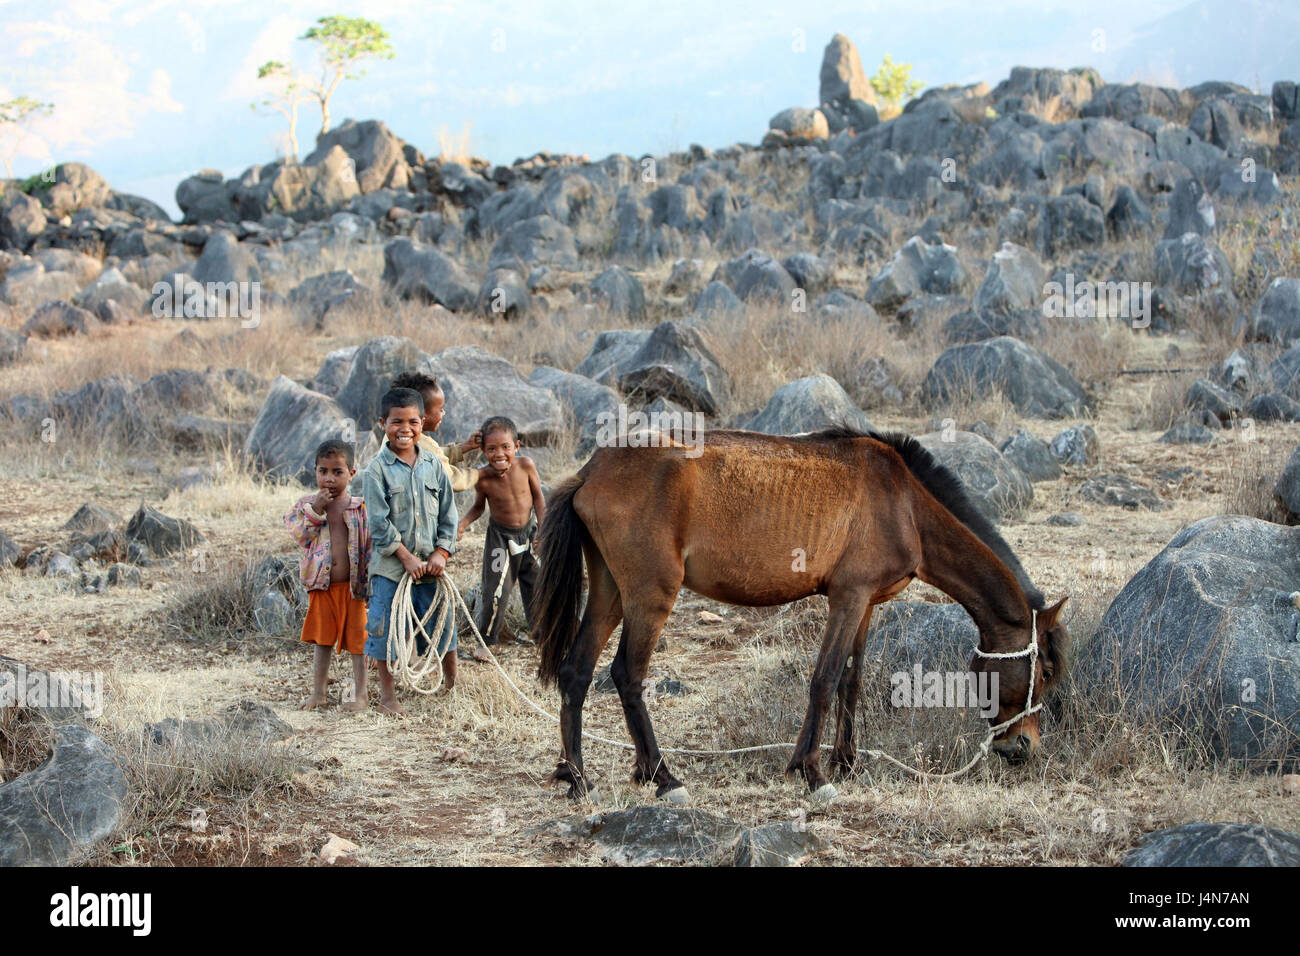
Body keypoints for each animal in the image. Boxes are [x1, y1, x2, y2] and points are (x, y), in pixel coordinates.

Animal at [530, 425, 1069, 803]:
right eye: (1043, 671)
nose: (1023, 747)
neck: (906, 503)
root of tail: (592, 469)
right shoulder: (848, 597)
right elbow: (825, 679)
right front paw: (812, 772)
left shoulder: (866, 605)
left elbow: (852, 680)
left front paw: (847, 762)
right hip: (649, 595)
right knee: (627, 675)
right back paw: (663, 776)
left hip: (610, 591)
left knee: (577, 671)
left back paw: (578, 778)